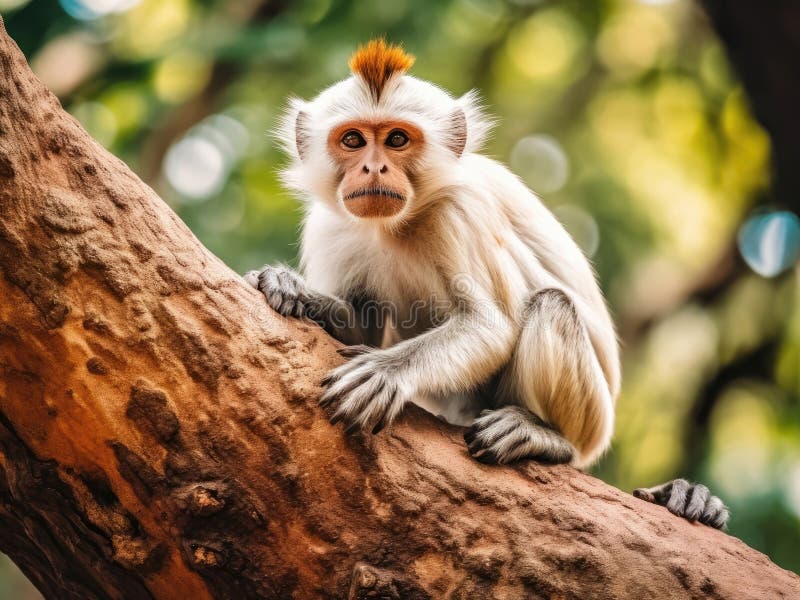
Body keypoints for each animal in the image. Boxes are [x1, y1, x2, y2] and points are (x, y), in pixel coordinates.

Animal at [244, 40, 729, 530]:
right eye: (353, 140)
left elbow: (491, 326)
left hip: (593, 420)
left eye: (397, 140)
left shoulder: (460, 210)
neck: (394, 226)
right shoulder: (329, 224)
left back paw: (546, 438)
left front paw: (385, 372)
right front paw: (291, 288)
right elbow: (359, 329)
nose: (373, 168)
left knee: (552, 305)